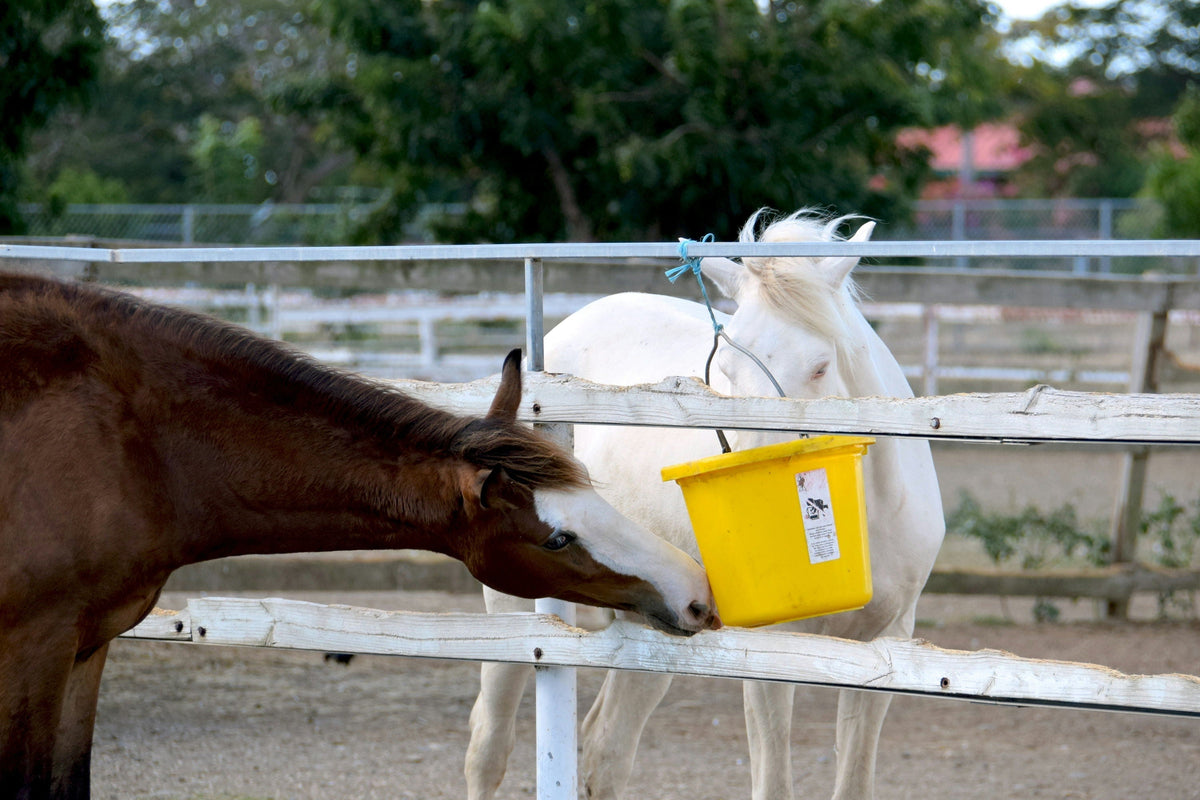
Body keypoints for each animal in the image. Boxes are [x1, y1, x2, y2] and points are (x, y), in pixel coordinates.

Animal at [465, 209, 945, 800]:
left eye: (819, 366)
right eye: (727, 374)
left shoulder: (884, 645)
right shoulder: (770, 652)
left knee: (606, 747)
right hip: (513, 606)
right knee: (489, 744)